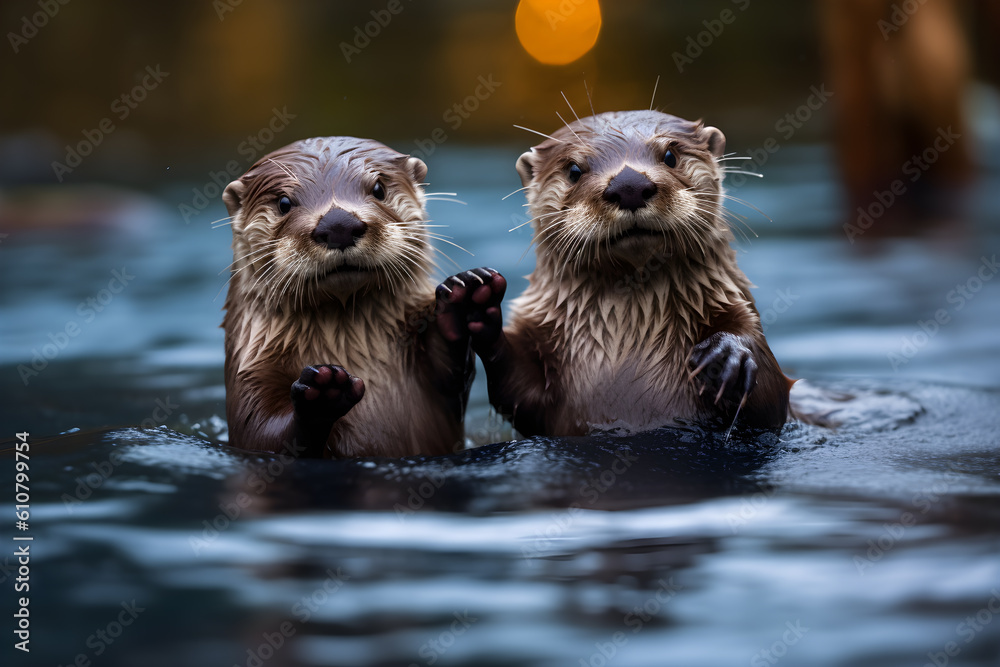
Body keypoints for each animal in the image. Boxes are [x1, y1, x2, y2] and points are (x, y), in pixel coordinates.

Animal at [221, 136, 481, 458]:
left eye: (379, 189)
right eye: (284, 203)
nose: (338, 224)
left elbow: (450, 377)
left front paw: (460, 302)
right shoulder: (250, 370)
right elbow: (261, 432)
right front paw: (323, 392)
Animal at [451, 110, 792, 436]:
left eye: (670, 155)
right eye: (574, 170)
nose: (629, 185)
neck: (629, 334)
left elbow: (773, 398)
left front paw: (728, 353)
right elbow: (517, 393)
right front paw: (475, 299)